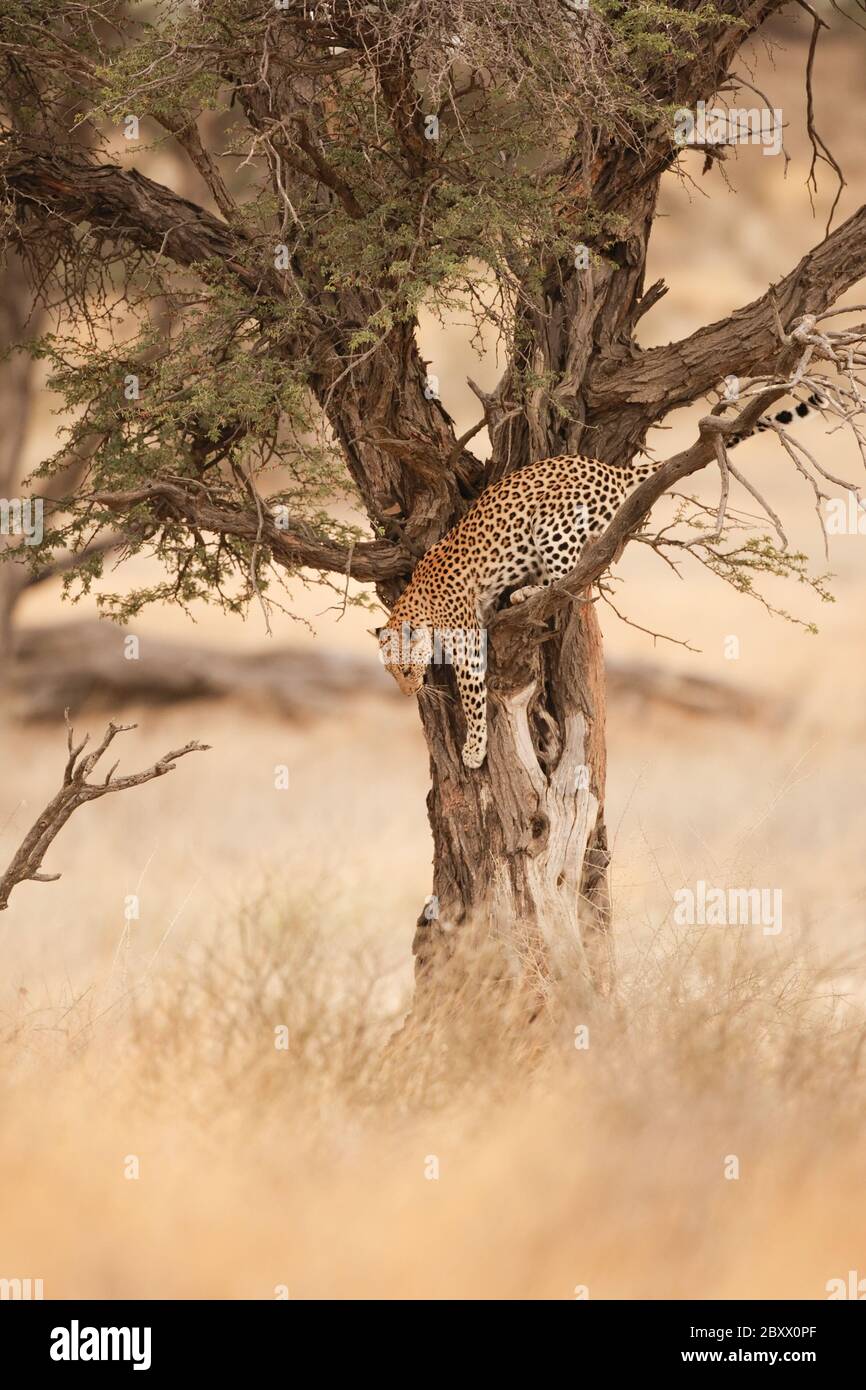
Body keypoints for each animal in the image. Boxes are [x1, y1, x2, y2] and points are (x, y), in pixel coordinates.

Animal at [376, 392, 824, 769]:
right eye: (392, 673)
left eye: (404, 668)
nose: (406, 692)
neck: (417, 604)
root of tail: (606, 469)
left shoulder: (468, 641)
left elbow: (473, 694)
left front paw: (473, 749)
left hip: (551, 527)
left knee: (569, 582)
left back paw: (526, 592)